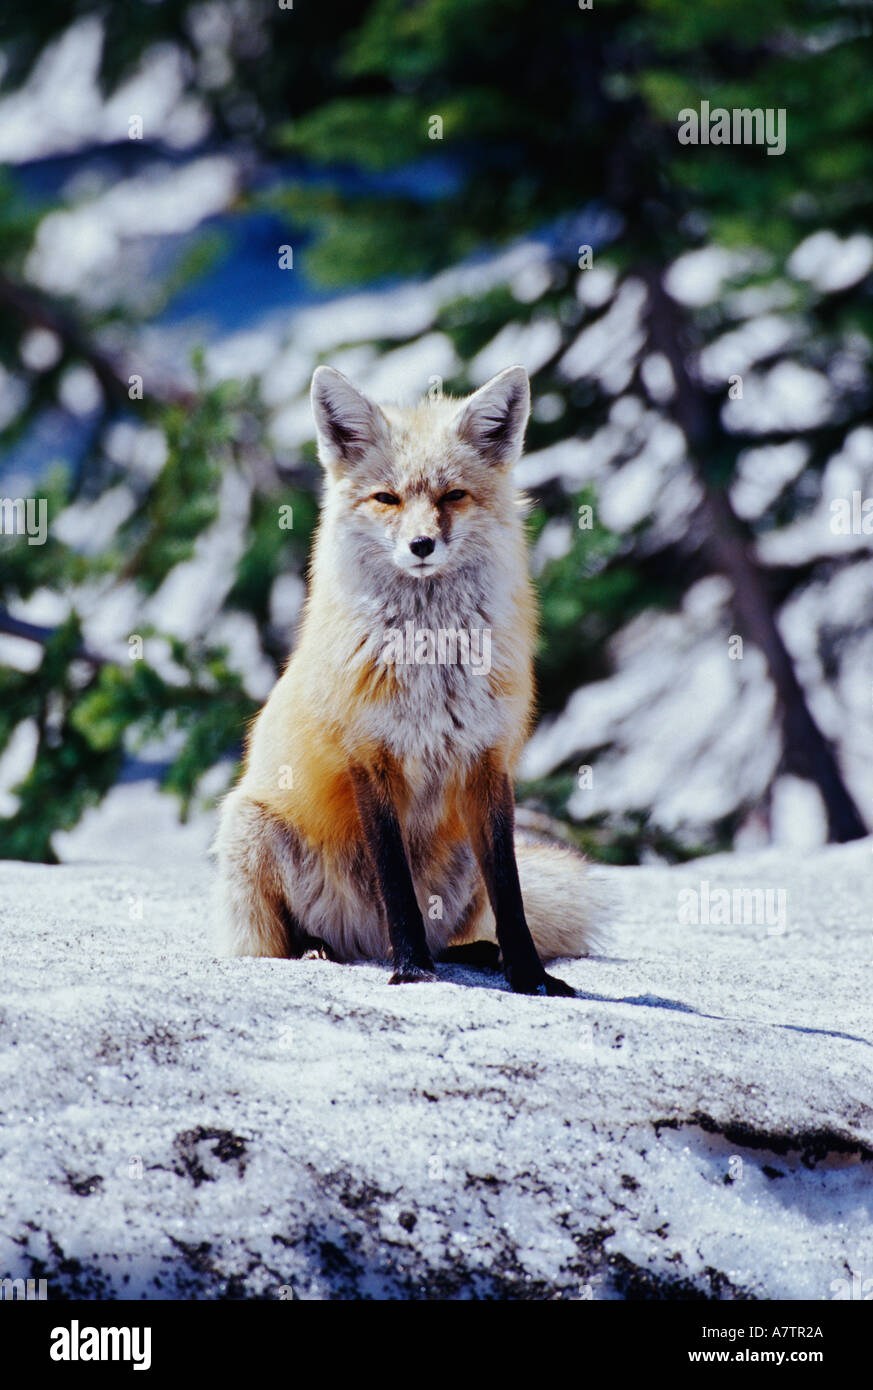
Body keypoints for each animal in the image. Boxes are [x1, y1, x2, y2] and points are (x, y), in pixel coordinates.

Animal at [214, 363, 597, 995]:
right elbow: (396, 885)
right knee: (283, 940)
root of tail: (365, 945)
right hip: (252, 827)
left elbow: (511, 893)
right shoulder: (369, 758)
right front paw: (413, 969)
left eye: (452, 496)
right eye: (387, 498)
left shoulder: (489, 760)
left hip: (460, 859)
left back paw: (477, 953)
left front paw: (529, 975)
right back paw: (321, 949)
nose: (421, 545)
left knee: (462, 930)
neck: (430, 664)